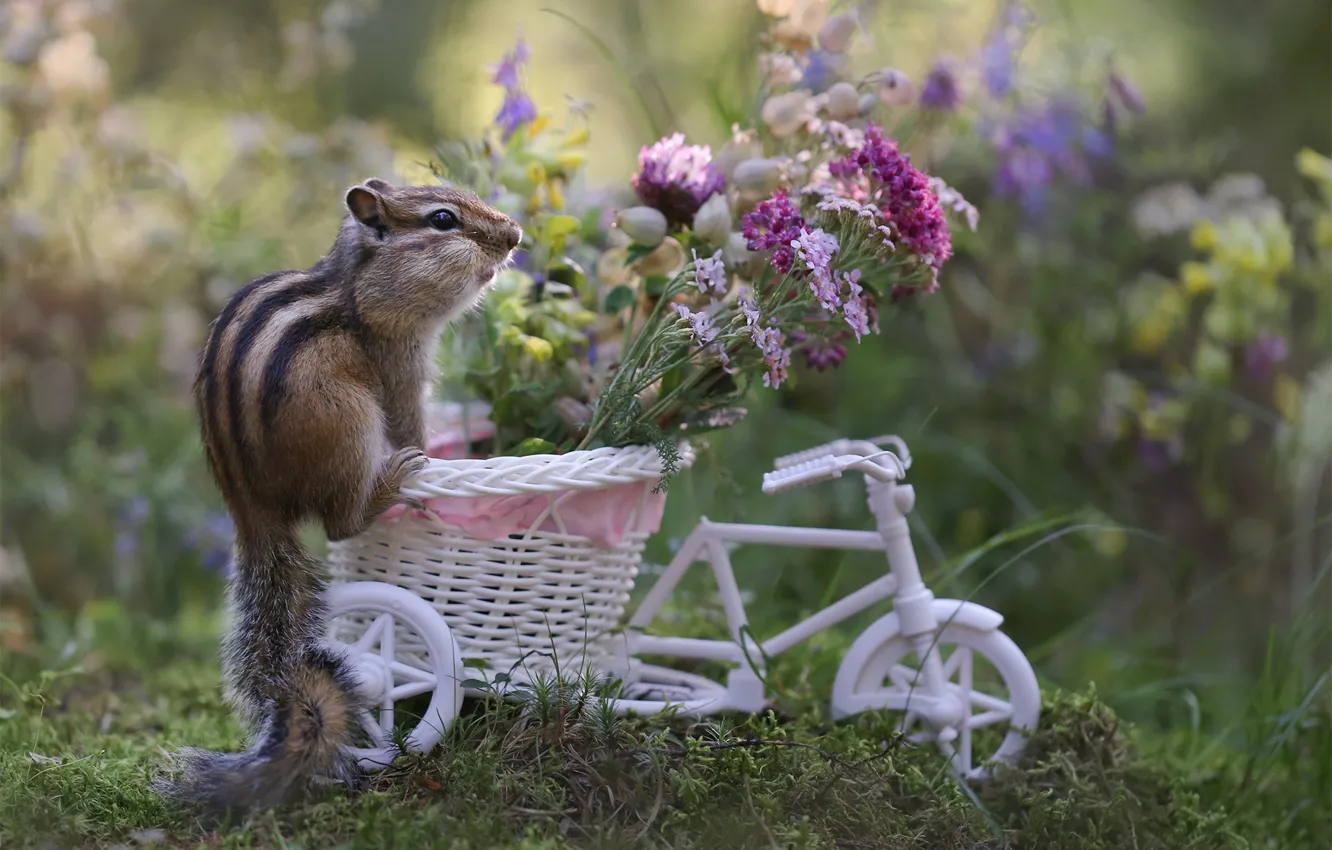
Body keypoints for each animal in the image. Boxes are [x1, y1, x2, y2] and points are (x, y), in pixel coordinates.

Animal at [153, 179, 522, 820]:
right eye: (442, 220)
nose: (516, 233)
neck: (355, 294)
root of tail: (250, 505)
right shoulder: (399, 365)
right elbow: (411, 424)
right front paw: (438, 460)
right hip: (350, 425)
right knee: (341, 522)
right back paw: (393, 484)